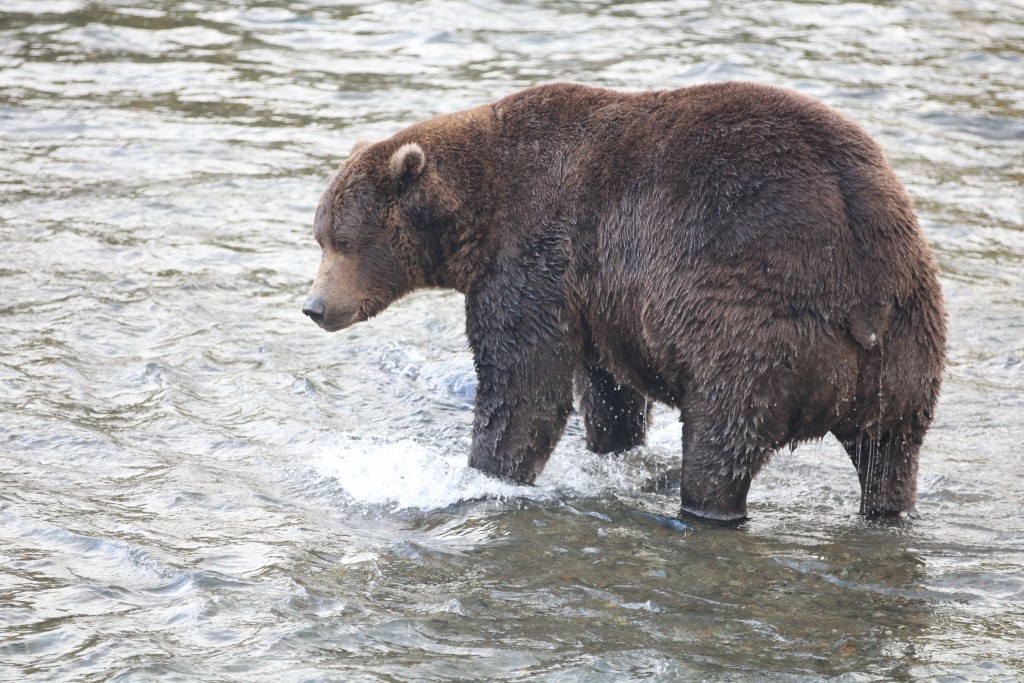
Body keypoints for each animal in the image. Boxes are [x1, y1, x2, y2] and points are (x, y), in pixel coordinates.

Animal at [301, 82, 947, 521]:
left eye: (345, 240)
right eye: (320, 235)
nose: (315, 306)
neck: (475, 217)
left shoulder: (534, 258)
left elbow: (523, 386)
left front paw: (482, 472)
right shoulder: (594, 295)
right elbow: (607, 391)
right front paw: (612, 448)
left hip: (759, 318)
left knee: (723, 433)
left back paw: (701, 509)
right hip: (905, 346)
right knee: (891, 452)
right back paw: (888, 511)